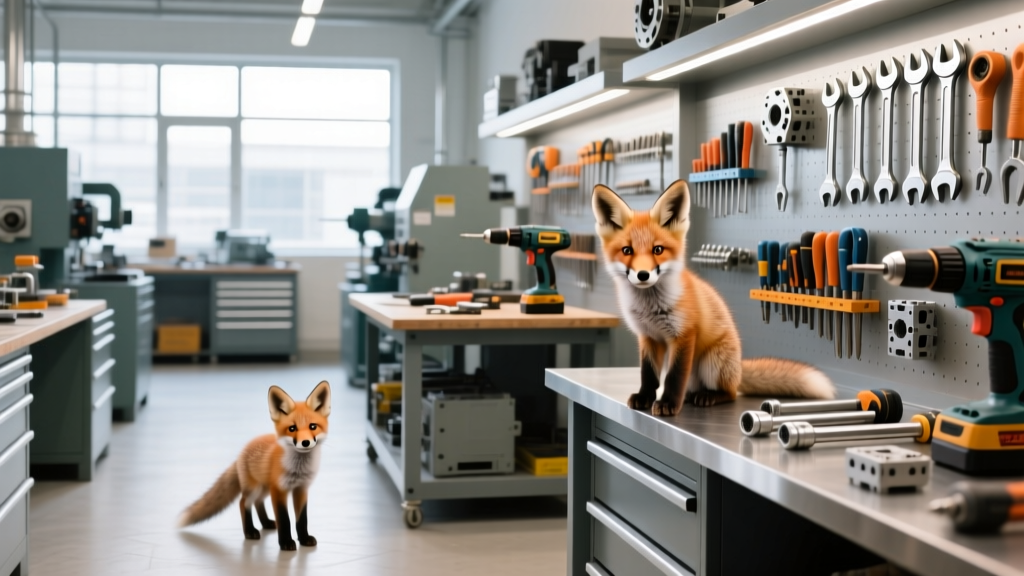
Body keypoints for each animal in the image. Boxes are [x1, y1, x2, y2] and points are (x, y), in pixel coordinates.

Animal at [177, 381, 331, 551]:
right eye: (292, 429)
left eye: (313, 426)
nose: (305, 443)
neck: (298, 469)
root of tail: (243, 450)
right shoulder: (279, 490)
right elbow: (284, 519)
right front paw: (285, 542)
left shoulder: (301, 489)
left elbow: (302, 519)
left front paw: (304, 539)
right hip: (255, 488)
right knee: (243, 503)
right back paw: (250, 531)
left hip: (264, 488)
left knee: (258, 502)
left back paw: (266, 523)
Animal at [592, 181, 834, 417]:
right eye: (627, 250)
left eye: (658, 249)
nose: (643, 275)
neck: (651, 306)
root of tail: (739, 368)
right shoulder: (648, 337)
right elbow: (648, 374)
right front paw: (645, 397)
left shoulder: (684, 335)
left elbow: (673, 376)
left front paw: (667, 403)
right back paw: (690, 396)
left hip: (712, 362)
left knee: (731, 393)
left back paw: (709, 396)